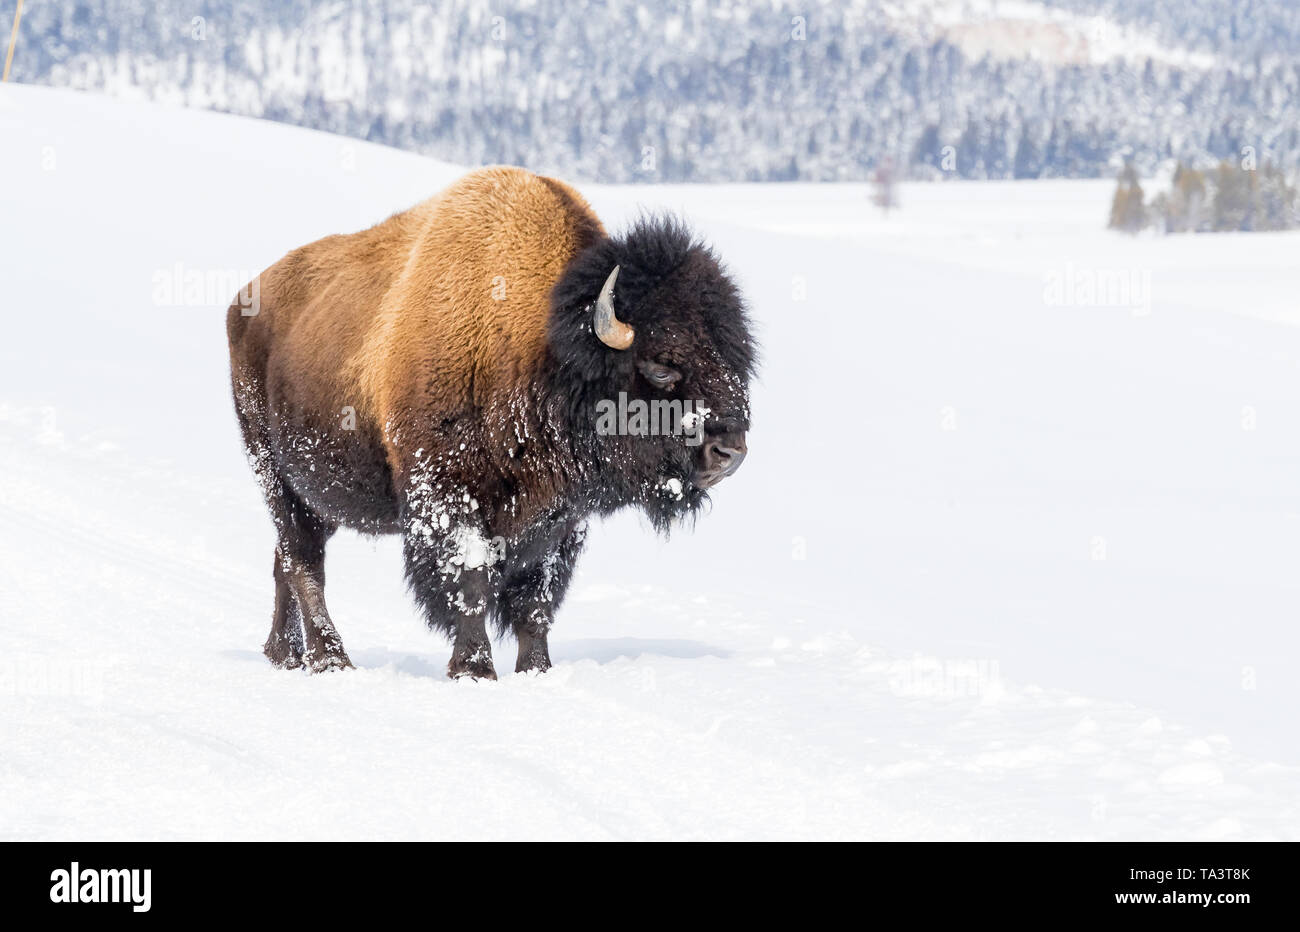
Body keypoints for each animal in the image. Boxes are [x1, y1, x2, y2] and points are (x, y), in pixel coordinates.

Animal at [227, 166, 754, 679]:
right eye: (662, 366)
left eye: (735, 361)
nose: (730, 452)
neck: (543, 349)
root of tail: (244, 300)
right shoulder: (448, 495)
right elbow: (471, 582)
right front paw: (475, 669)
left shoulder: (561, 521)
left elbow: (536, 600)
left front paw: (536, 670)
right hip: (272, 470)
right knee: (304, 563)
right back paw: (330, 660)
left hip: (313, 495)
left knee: (286, 559)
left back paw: (285, 654)